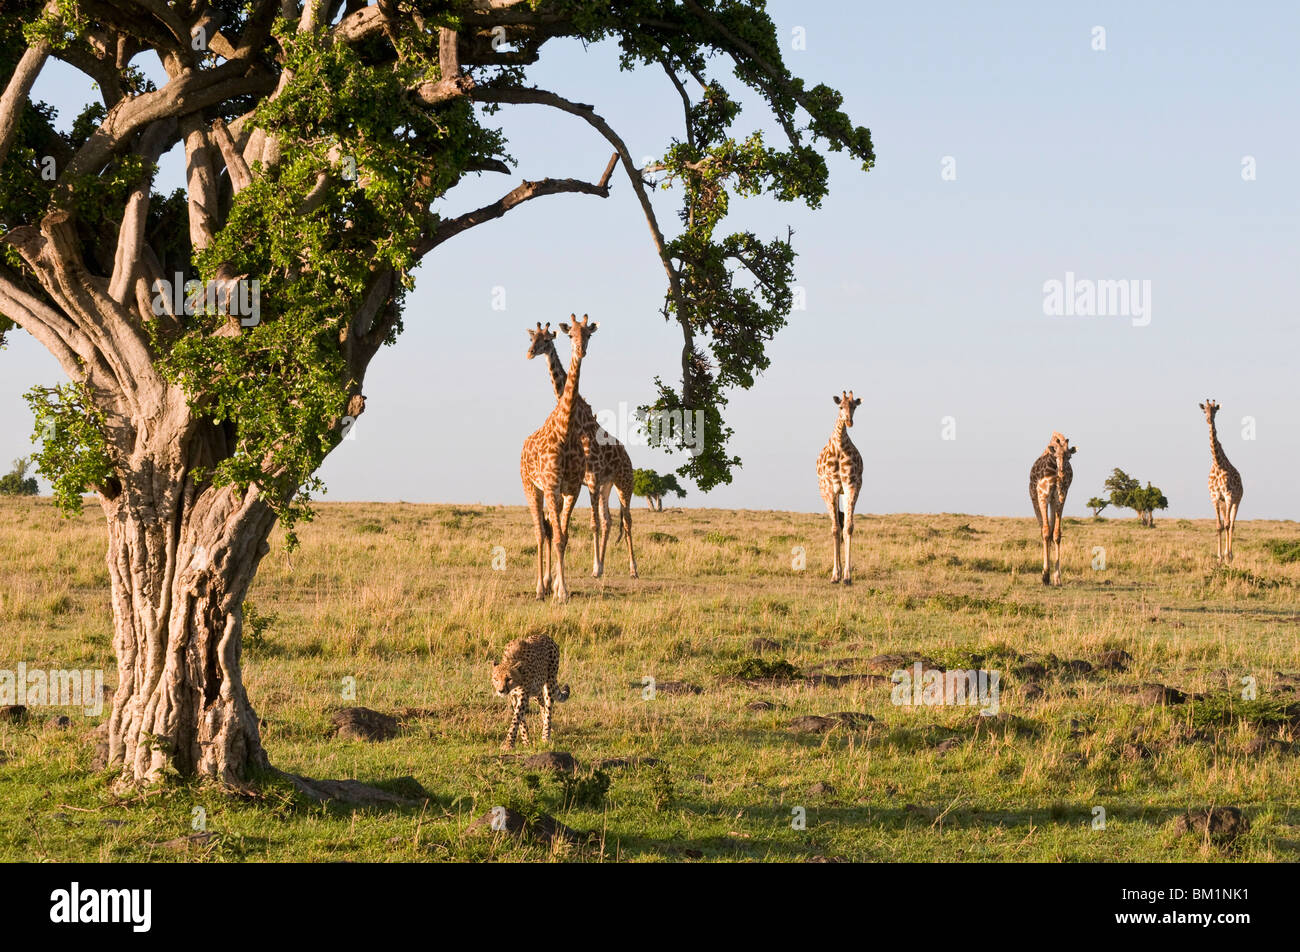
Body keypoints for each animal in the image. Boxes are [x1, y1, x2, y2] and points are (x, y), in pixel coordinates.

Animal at [520, 315, 597, 603]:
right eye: (570, 335)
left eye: (588, 334)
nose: (581, 350)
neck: (565, 430)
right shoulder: (552, 486)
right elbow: (554, 536)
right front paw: (556, 589)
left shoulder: (571, 489)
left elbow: (563, 537)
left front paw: (562, 590)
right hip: (531, 488)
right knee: (540, 533)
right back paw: (539, 588)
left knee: (553, 530)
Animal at [526, 322, 637, 580]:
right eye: (533, 338)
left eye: (546, 340)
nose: (530, 352)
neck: (578, 421)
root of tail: (628, 458)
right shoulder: (589, 482)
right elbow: (586, 523)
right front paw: (595, 567)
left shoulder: (592, 478)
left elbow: (592, 523)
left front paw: (594, 567)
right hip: (607, 486)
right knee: (608, 520)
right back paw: (604, 565)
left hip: (624, 484)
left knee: (626, 520)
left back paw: (633, 568)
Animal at [1029, 431, 1076, 586]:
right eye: (1056, 456)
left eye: (1069, 456)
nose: (1062, 473)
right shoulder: (1046, 496)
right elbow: (1047, 532)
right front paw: (1048, 575)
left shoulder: (1058, 497)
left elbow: (1054, 533)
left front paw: (1054, 577)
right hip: (1041, 497)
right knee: (1046, 530)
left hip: (1049, 499)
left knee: (1049, 530)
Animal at [1200, 399, 1244, 561]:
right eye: (1204, 410)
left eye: (1215, 410)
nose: (1208, 419)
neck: (1218, 464)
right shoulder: (1215, 497)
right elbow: (1219, 525)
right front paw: (1219, 557)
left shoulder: (1229, 495)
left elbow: (1227, 525)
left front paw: (1226, 556)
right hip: (1224, 503)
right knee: (1226, 523)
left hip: (1237, 500)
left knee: (1231, 525)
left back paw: (1230, 555)